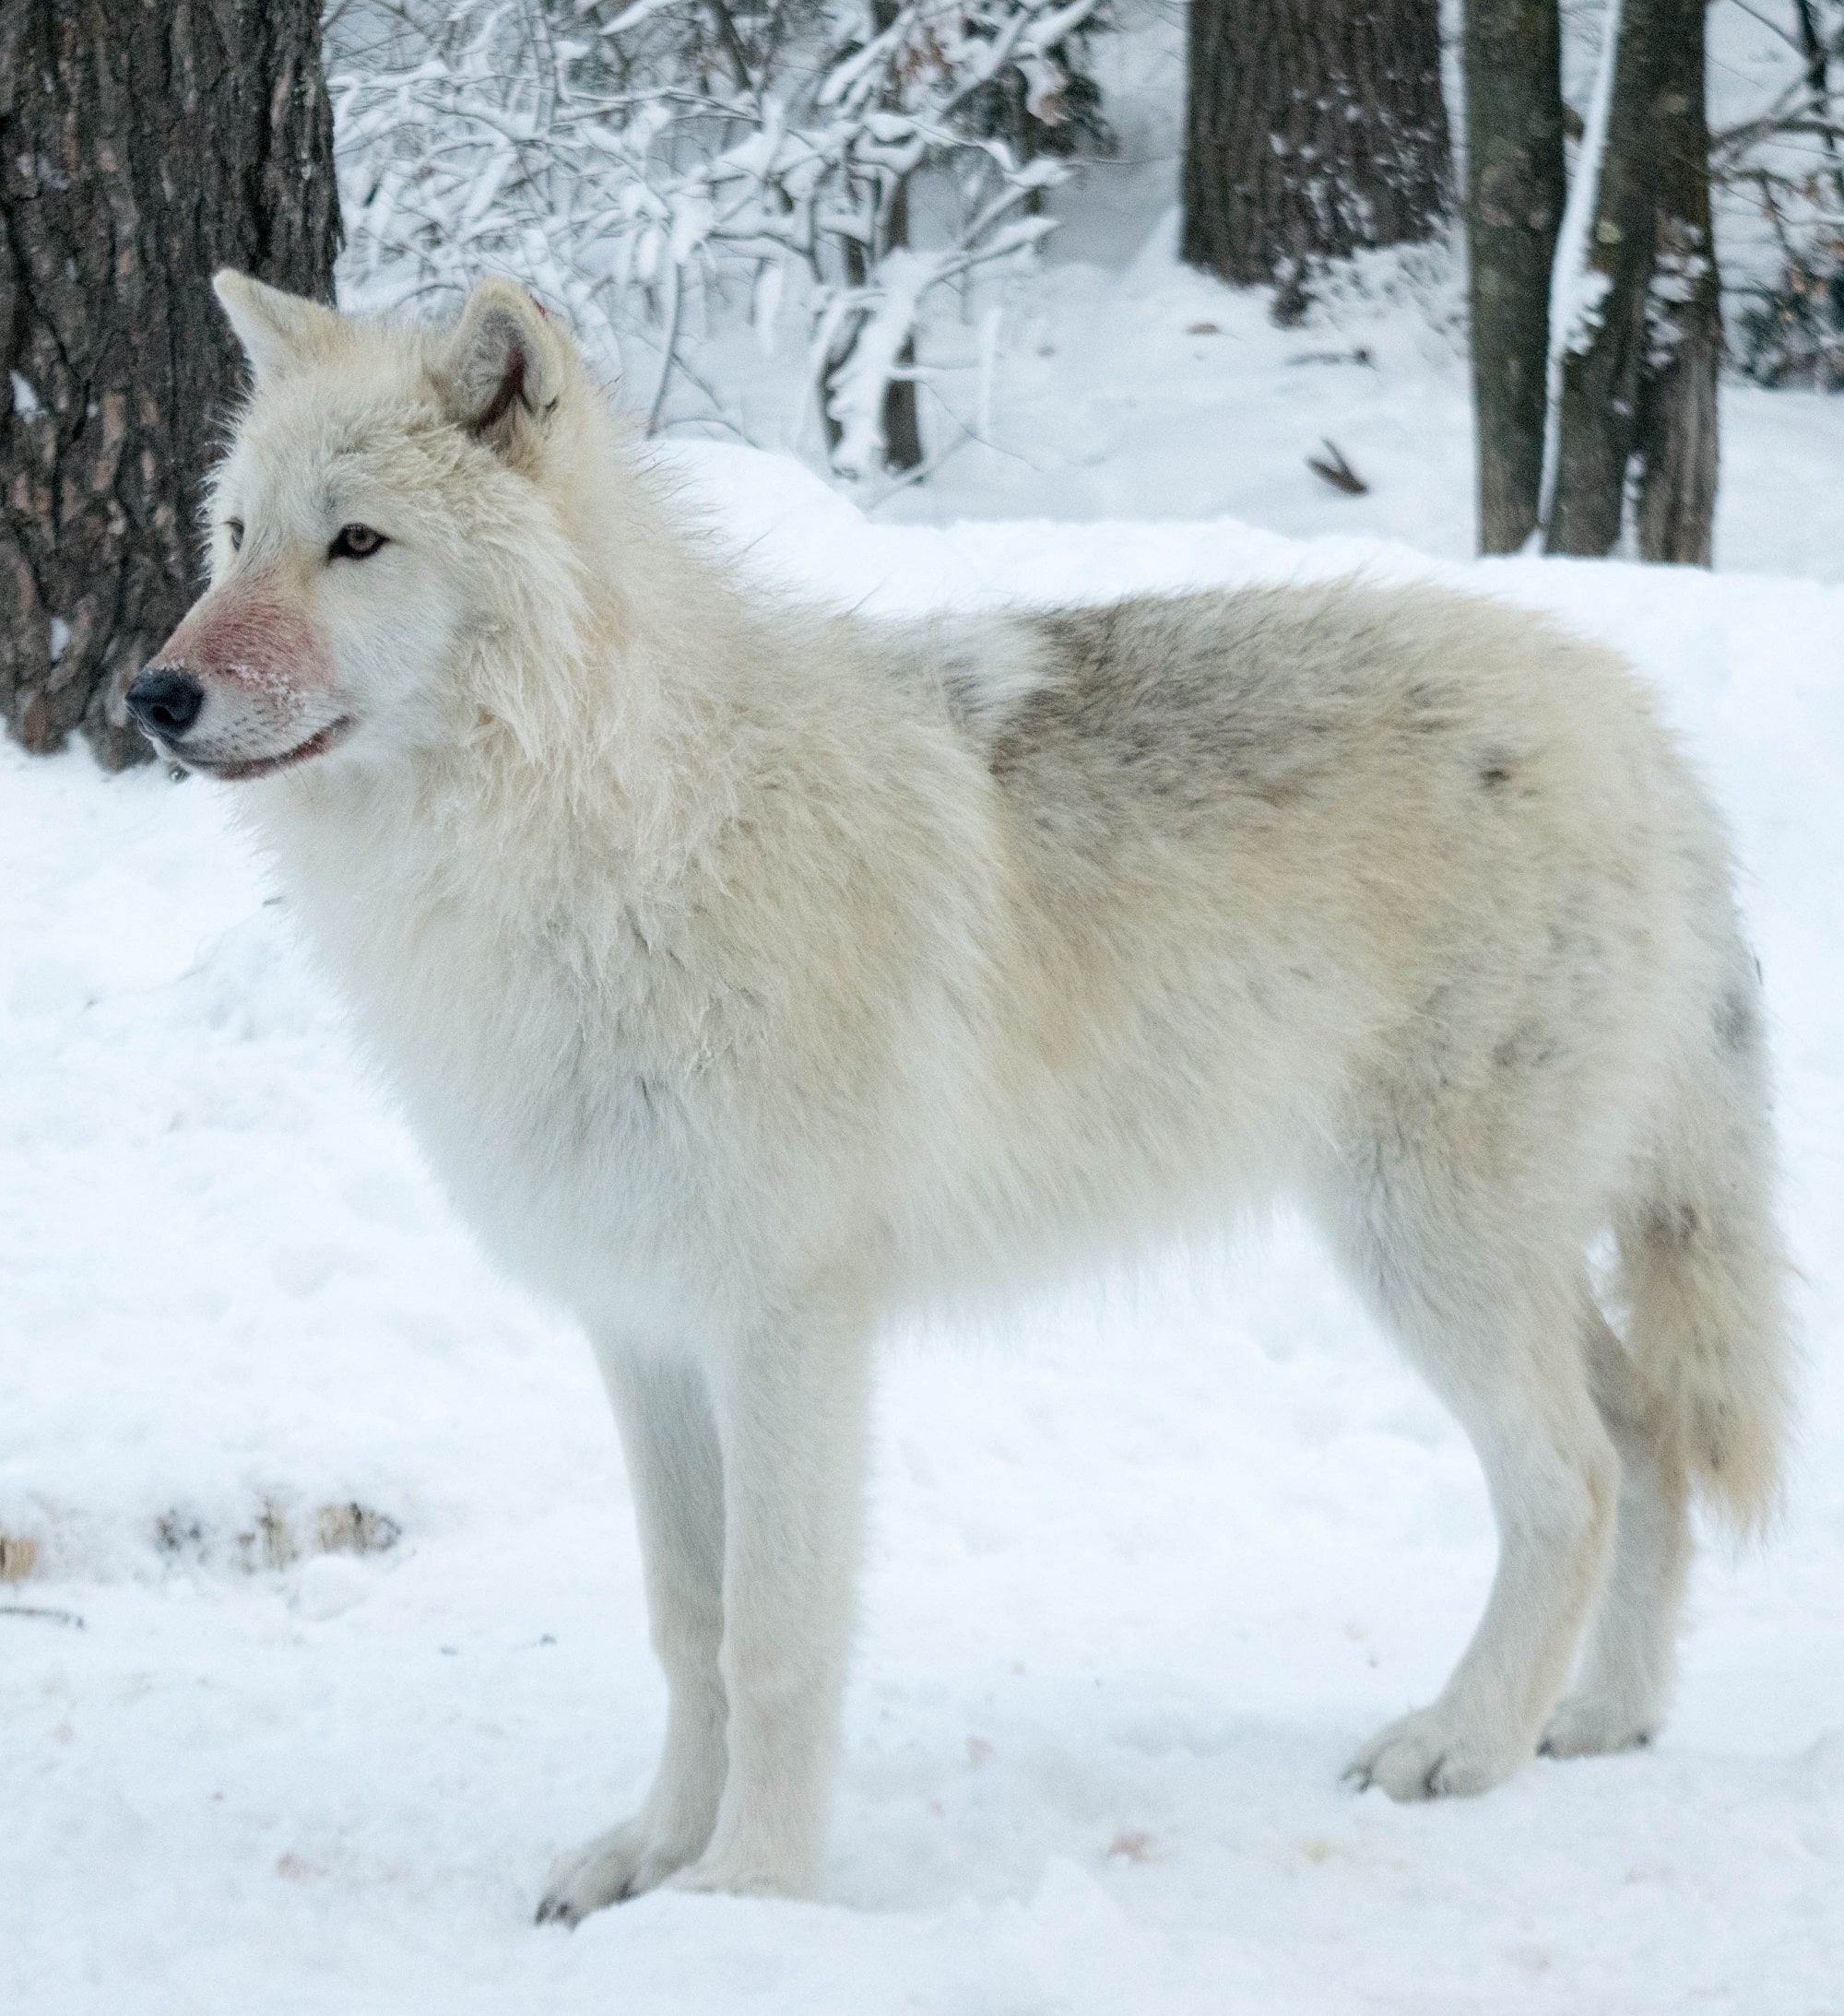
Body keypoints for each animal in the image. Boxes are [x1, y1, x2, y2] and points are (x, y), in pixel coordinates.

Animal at [127, 273, 1791, 1920]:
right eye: (234, 535)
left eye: (357, 542)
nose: (153, 692)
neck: (613, 836)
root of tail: (1643, 729)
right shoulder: (645, 1327)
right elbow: (686, 1620)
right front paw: (650, 1861)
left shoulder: (789, 1326)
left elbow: (772, 1634)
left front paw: (749, 1896)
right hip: (1478, 1248)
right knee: (1651, 1430)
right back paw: (1606, 1716)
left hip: (1425, 1249)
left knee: (1574, 1475)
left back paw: (1466, 1742)